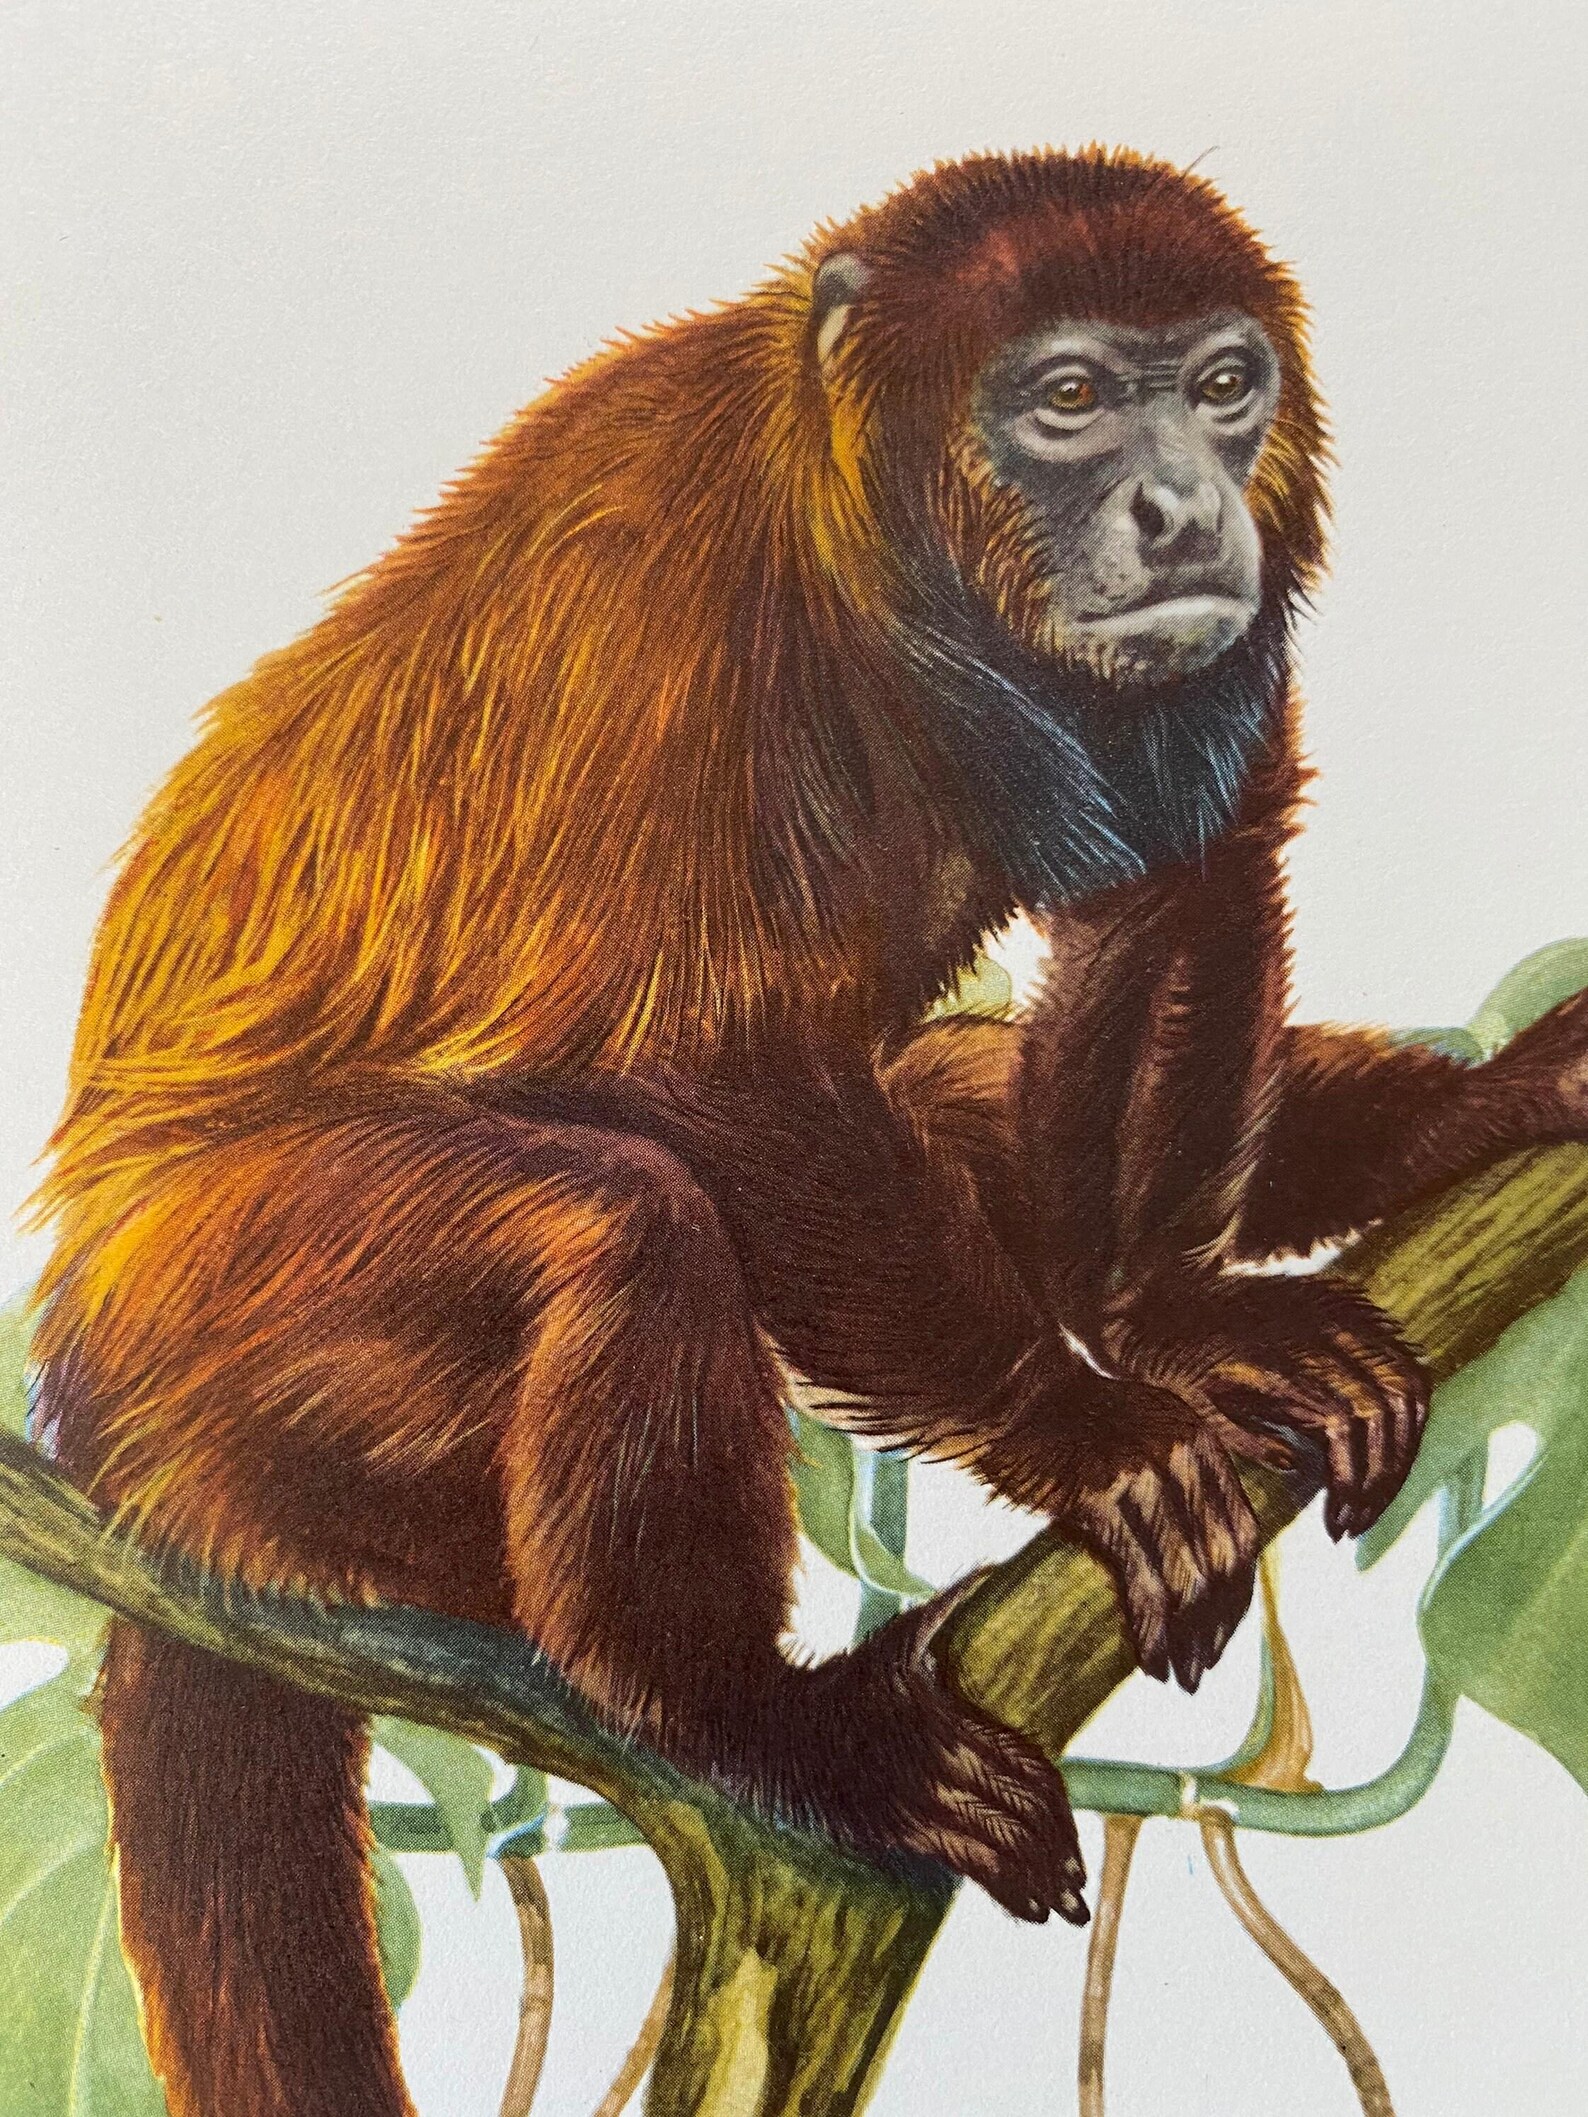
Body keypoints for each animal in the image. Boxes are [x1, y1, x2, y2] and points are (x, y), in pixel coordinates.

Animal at [27, 147, 1588, 2117]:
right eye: (1070, 398)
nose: (1181, 508)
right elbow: (703, 1055)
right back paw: (752, 1723)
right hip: (207, 1311)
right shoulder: (671, 588)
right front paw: (1082, 1429)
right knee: (625, 1221)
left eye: (1223, 385)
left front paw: (1187, 1324)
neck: (893, 581)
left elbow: (1179, 883)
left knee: (952, 1091)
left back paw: (1453, 1123)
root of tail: (111, 1437)